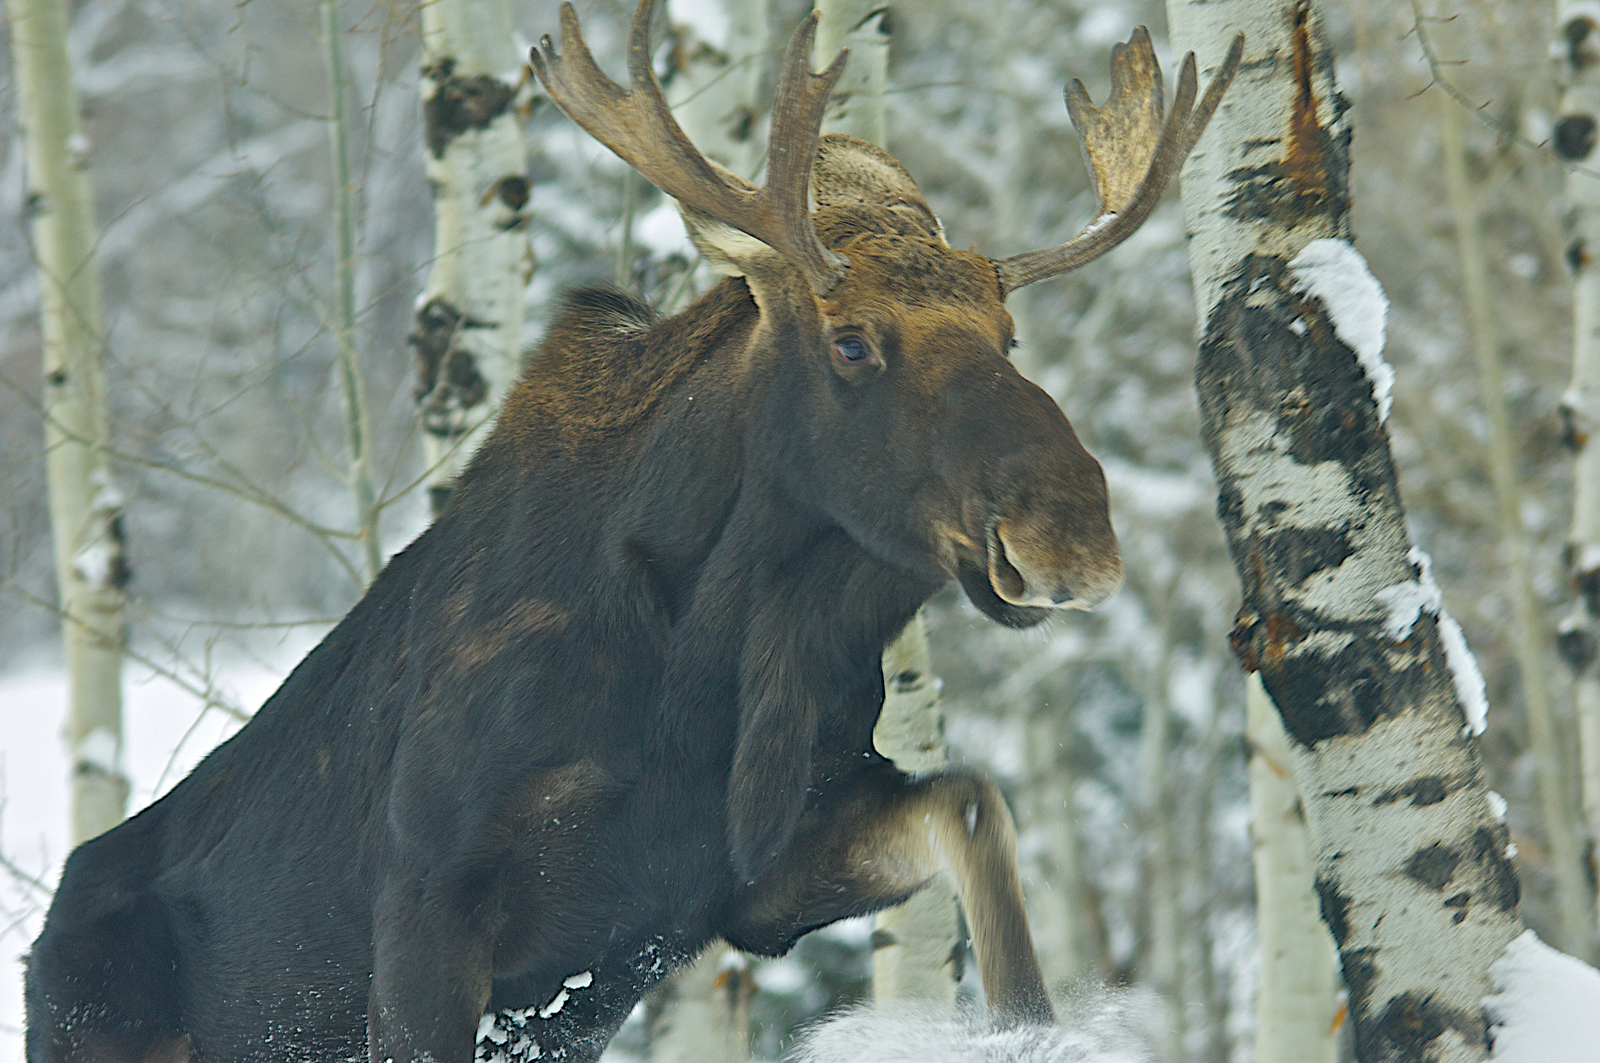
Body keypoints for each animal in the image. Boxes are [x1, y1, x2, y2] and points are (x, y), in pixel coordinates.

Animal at [24, 4, 1240, 1061]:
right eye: (850, 339)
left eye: (1008, 331)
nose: (1069, 531)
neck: (715, 666)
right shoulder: (426, 900)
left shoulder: (743, 878)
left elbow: (976, 804)